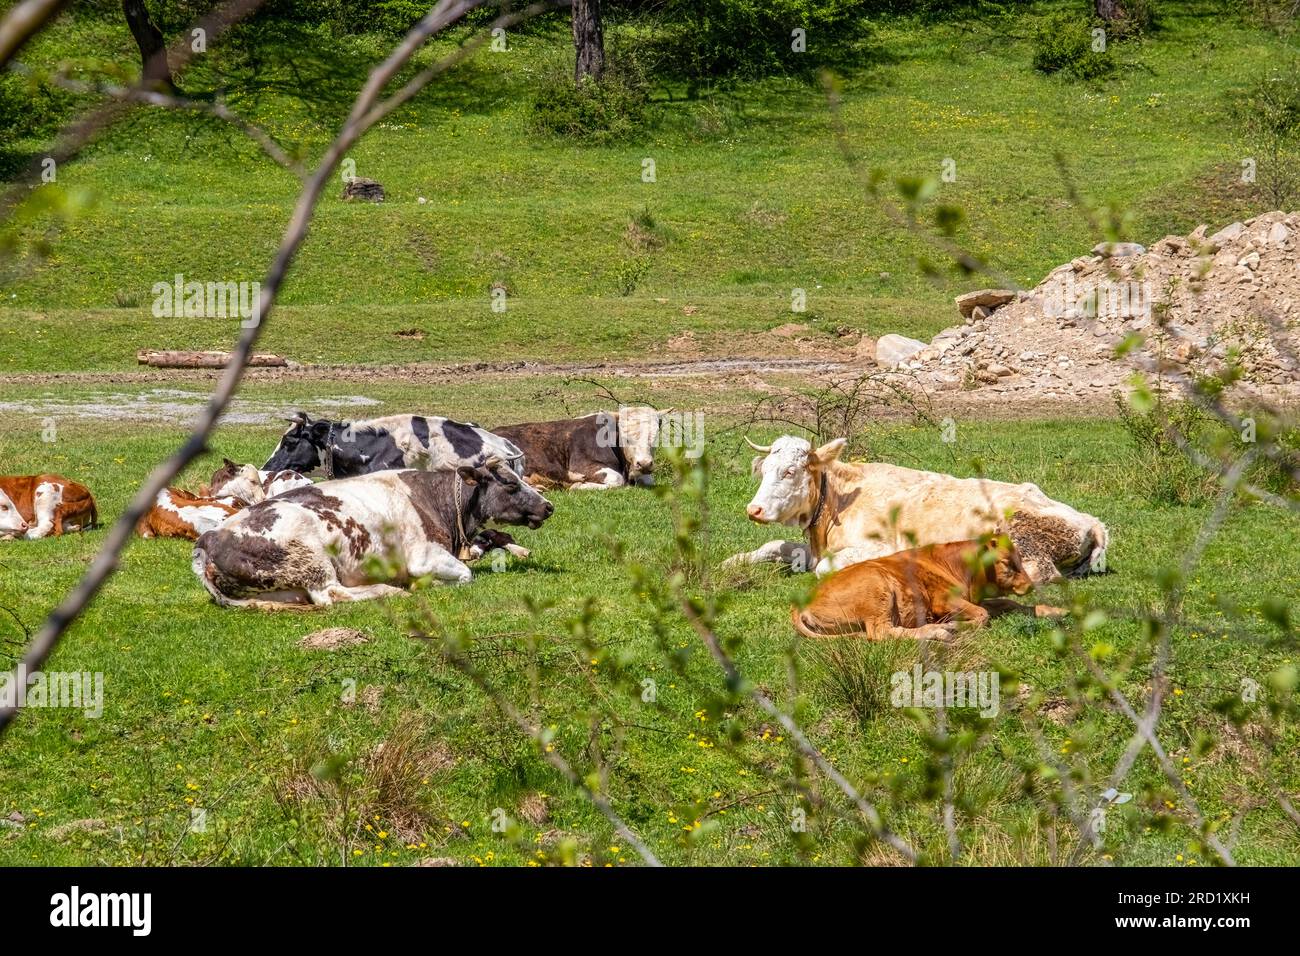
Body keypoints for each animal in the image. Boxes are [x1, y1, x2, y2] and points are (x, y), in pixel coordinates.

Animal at [192, 459, 554, 609]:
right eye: (510, 484)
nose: (548, 506)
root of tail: (206, 541)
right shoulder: (424, 556)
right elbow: (466, 575)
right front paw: (421, 585)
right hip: (310, 559)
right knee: (331, 595)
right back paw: (389, 590)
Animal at [490, 406, 666, 489]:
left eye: (655, 436)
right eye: (626, 437)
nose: (644, 463)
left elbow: (648, 479)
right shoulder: (581, 464)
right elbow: (616, 478)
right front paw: (577, 484)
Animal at [729, 435, 1109, 584]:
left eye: (790, 472)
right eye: (764, 469)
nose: (754, 509)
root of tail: (1090, 520)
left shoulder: (877, 546)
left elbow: (823, 569)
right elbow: (775, 546)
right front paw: (732, 561)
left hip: (1022, 538)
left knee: (1041, 573)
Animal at [791, 536, 1065, 642]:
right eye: (1007, 563)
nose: (1029, 585)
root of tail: (799, 603)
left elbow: (1010, 604)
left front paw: (1054, 611)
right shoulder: (944, 601)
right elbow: (983, 615)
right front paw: (955, 626)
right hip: (877, 591)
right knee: (881, 632)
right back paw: (939, 631)